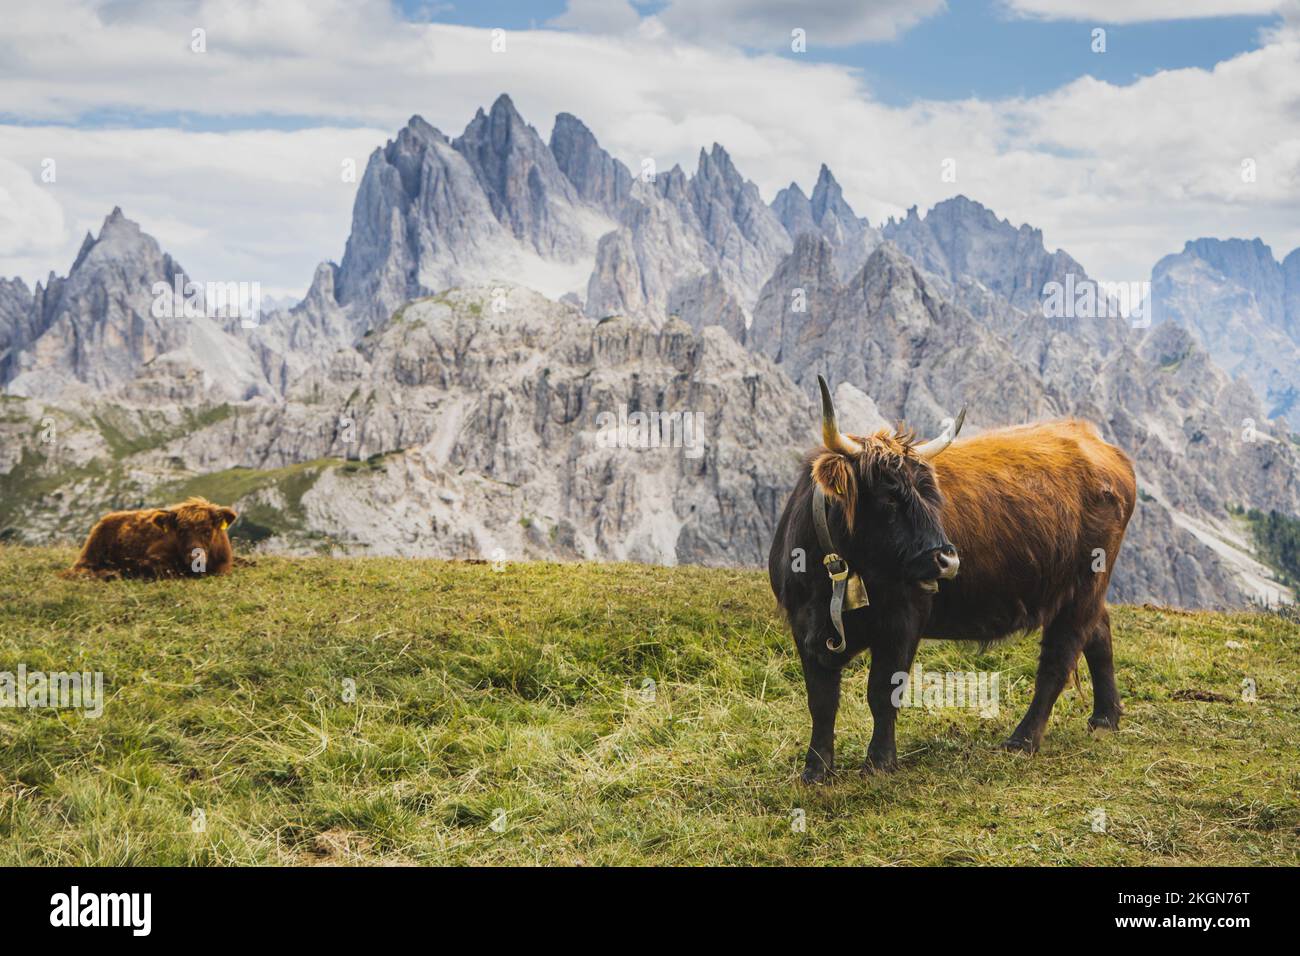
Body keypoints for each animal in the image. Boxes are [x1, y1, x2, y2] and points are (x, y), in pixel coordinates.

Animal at [769, 377, 1136, 782]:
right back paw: (1105, 718)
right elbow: (820, 701)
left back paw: (1022, 740)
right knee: (1099, 633)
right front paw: (816, 770)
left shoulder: (904, 619)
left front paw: (879, 763)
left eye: (932, 495)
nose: (947, 560)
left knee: (1059, 659)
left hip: (1083, 585)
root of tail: (1097, 445)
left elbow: (882, 691)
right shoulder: (804, 628)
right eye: (889, 496)